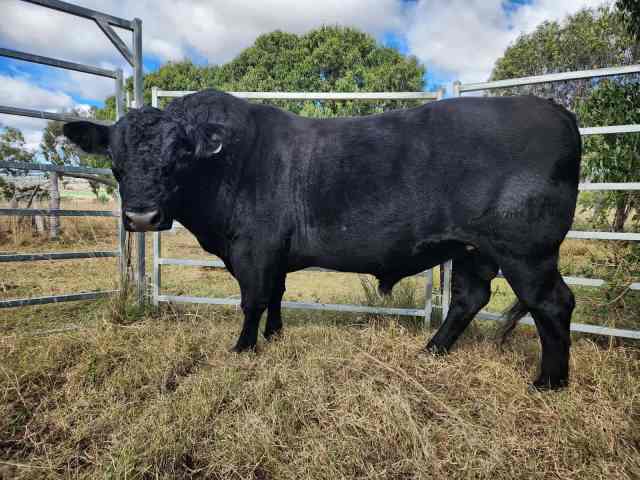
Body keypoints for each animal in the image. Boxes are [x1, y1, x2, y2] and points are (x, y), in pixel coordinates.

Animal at [63, 89, 581, 390]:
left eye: (179, 156)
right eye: (115, 159)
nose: (141, 216)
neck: (225, 164)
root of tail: (555, 111)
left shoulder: (254, 249)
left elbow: (252, 299)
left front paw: (243, 348)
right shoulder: (274, 255)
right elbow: (275, 295)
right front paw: (274, 336)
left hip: (526, 251)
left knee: (553, 302)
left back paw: (549, 381)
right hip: (474, 249)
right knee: (470, 298)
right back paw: (432, 350)